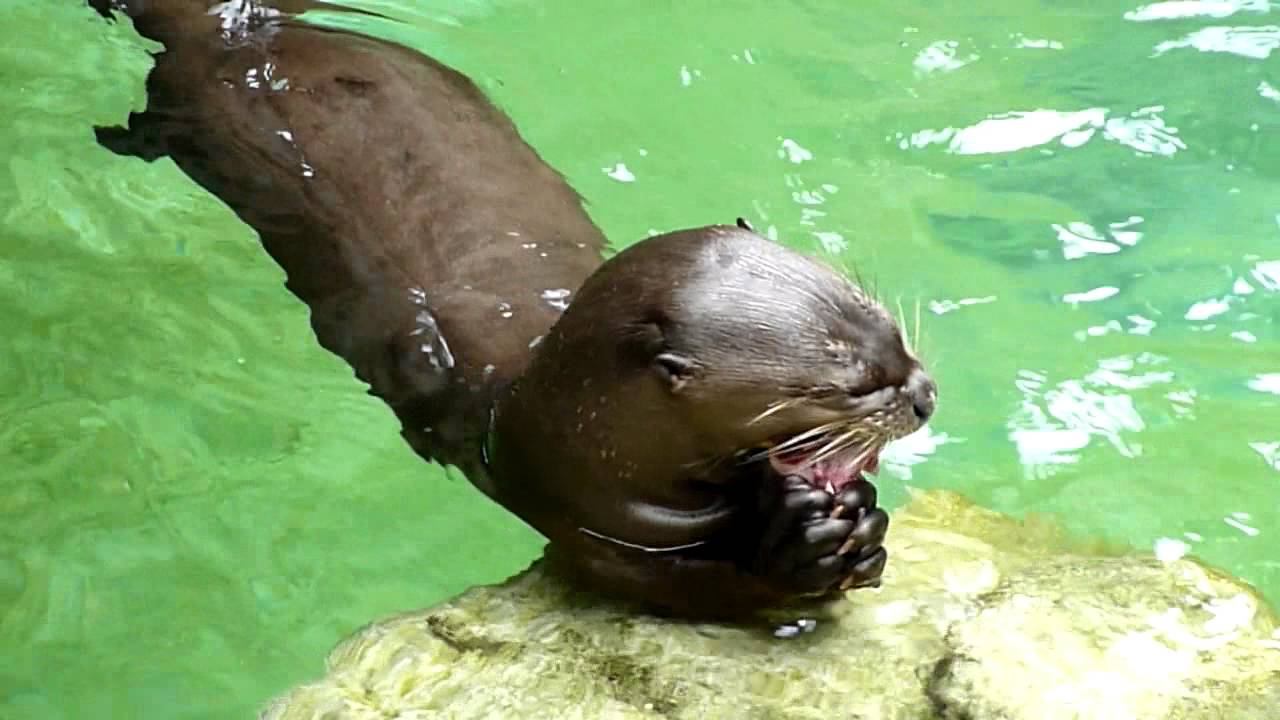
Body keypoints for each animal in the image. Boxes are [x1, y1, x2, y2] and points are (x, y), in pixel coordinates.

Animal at [87, 0, 936, 619]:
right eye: (844, 383)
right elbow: (704, 591)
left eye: (882, 320)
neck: (559, 434)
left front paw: (851, 517)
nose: (925, 393)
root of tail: (243, 29)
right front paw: (804, 546)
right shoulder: (592, 534)